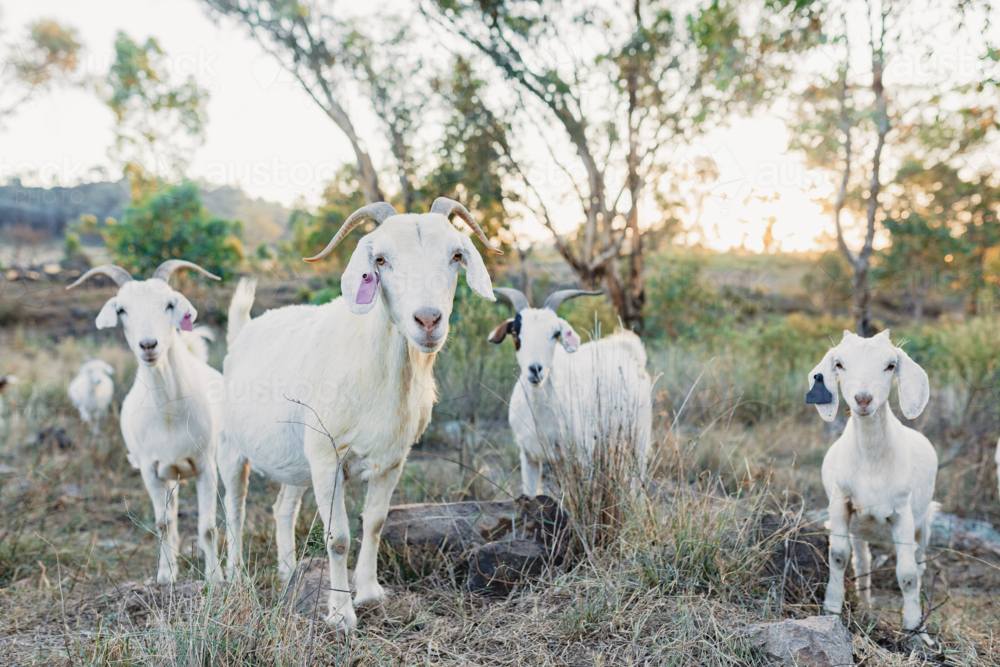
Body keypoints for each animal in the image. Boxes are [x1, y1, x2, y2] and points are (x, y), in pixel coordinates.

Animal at [68, 260, 224, 583]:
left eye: (169, 304)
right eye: (121, 310)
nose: (148, 345)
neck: (169, 413)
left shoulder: (206, 466)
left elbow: (207, 526)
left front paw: (215, 578)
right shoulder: (150, 470)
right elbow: (163, 523)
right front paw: (165, 575)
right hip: (170, 476)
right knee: (172, 516)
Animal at [219, 198, 500, 630]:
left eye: (456, 255)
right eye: (380, 259)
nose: (428, 320)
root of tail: (243, 334)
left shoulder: (392, 460)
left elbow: (374, 524)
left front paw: (369, 593)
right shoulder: (327, 458)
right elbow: (337, 538)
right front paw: (340, 614)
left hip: (298, 460)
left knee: (283, 508)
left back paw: (287, 571)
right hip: (232, 449)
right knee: (234, 508)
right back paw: (235, 577)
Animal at [487, 288, 653, 496]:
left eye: (555, 334)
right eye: (516, 332)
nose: (535, 369)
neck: (540, 410)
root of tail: (629, 351)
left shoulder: (582, 454)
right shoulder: (528, 456)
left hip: (640, 438)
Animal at [807, 329, 938, 631]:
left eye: (890, 365)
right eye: (839, 364)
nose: (863, 399)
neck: (871, 463)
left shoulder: (903, 514)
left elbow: (907, 574)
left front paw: (913, 627)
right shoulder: (841, 503)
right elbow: (839, 555)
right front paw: (831, 609)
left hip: (924, 522)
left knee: (920, 563)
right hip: (860, 528)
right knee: (863, 562)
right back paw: (866, 605)